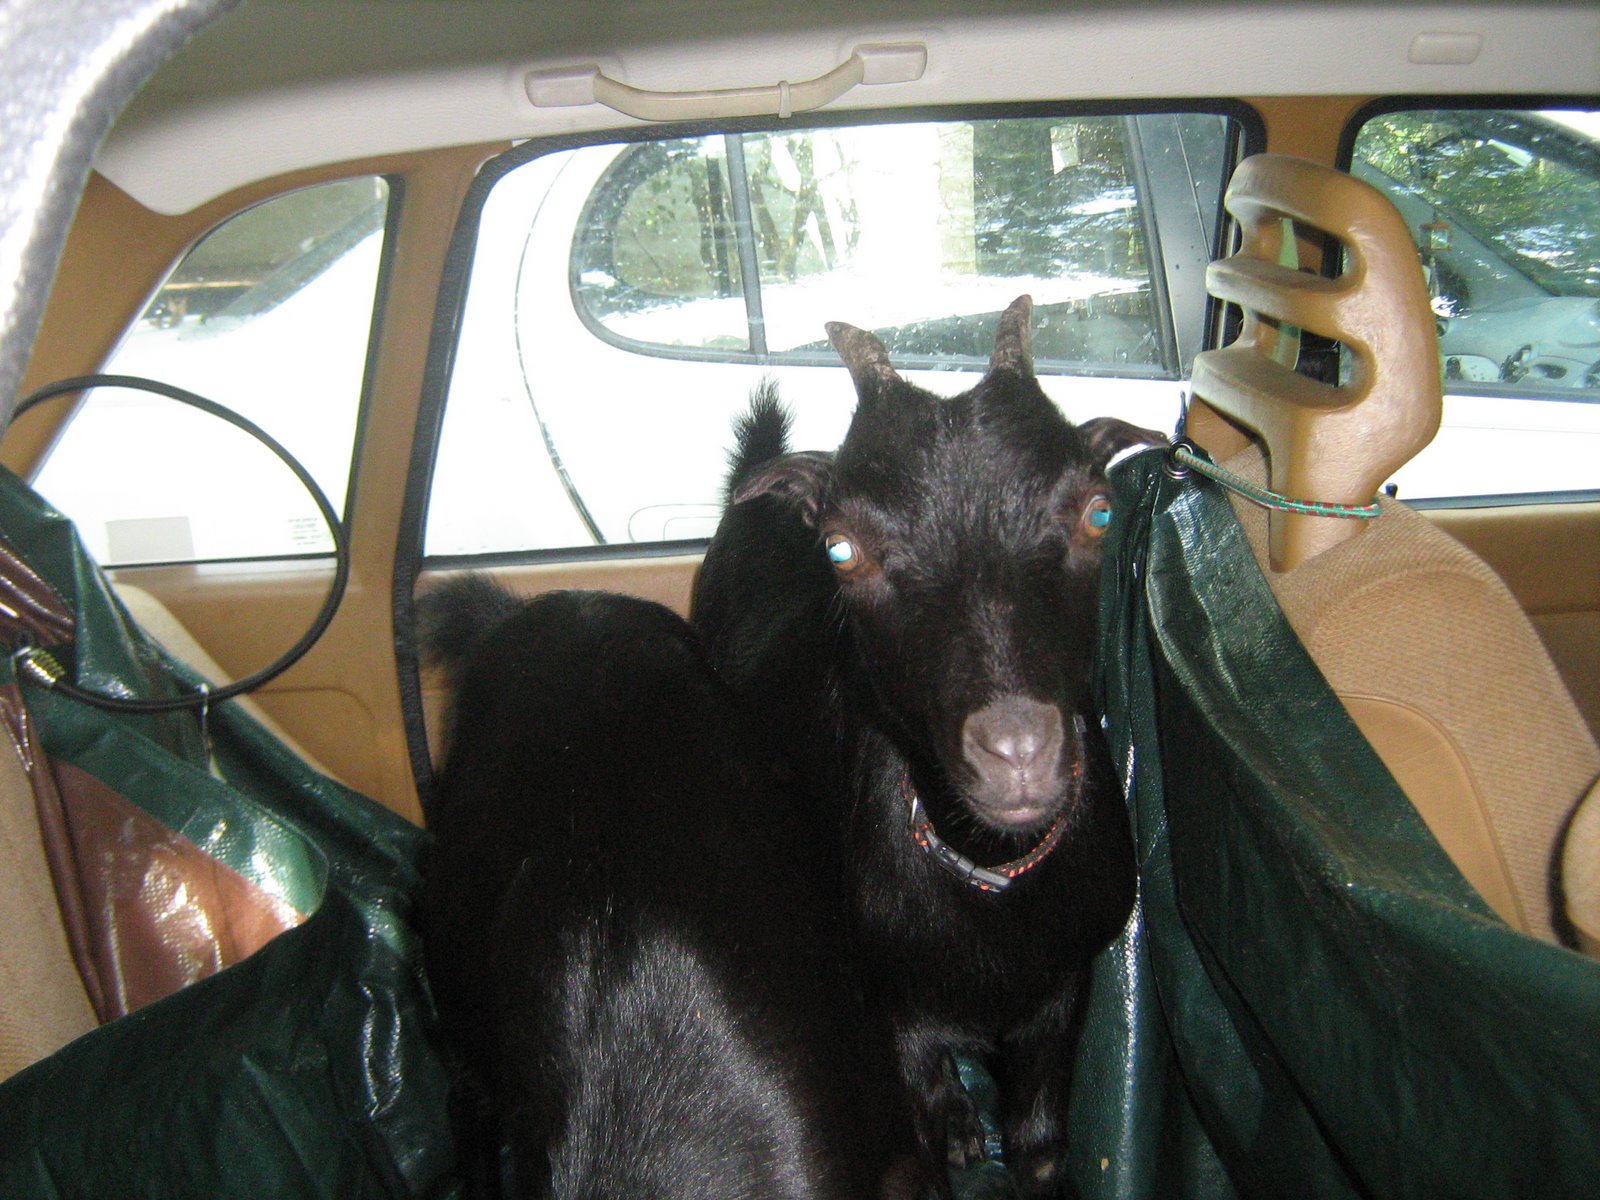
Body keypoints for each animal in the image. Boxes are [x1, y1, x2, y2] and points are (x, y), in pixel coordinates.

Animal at [692, 296, 1162, 1198]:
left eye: (1099, 511)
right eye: (842, 548)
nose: (1018, 751)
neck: (991, 885)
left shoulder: (1063, 995)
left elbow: (1040, 1141)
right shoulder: (891, 1010)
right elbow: (925, 1136)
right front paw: (955, 1135)